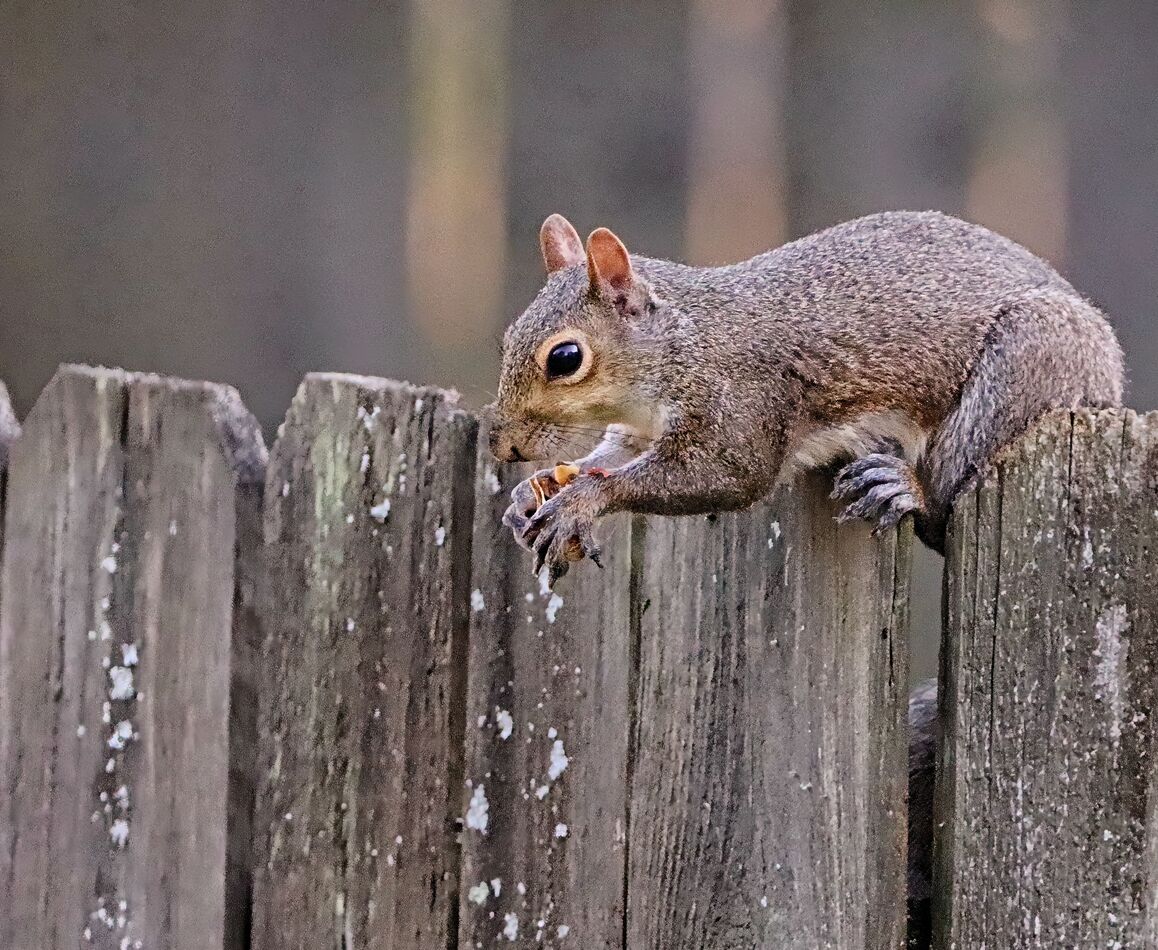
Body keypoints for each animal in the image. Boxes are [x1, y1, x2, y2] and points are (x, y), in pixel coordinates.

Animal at [489, 210, 1124, 584]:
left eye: (565, 358)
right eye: (509, 335)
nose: (502, 446)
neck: (686, 341)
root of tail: (1111, 390)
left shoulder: (740, 400)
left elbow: (729, 474)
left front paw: (582, 502)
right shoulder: (638, 428)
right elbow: (611, 456)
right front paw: (531, 491)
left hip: (1026, 365)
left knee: (944, 507)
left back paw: (905, 488)